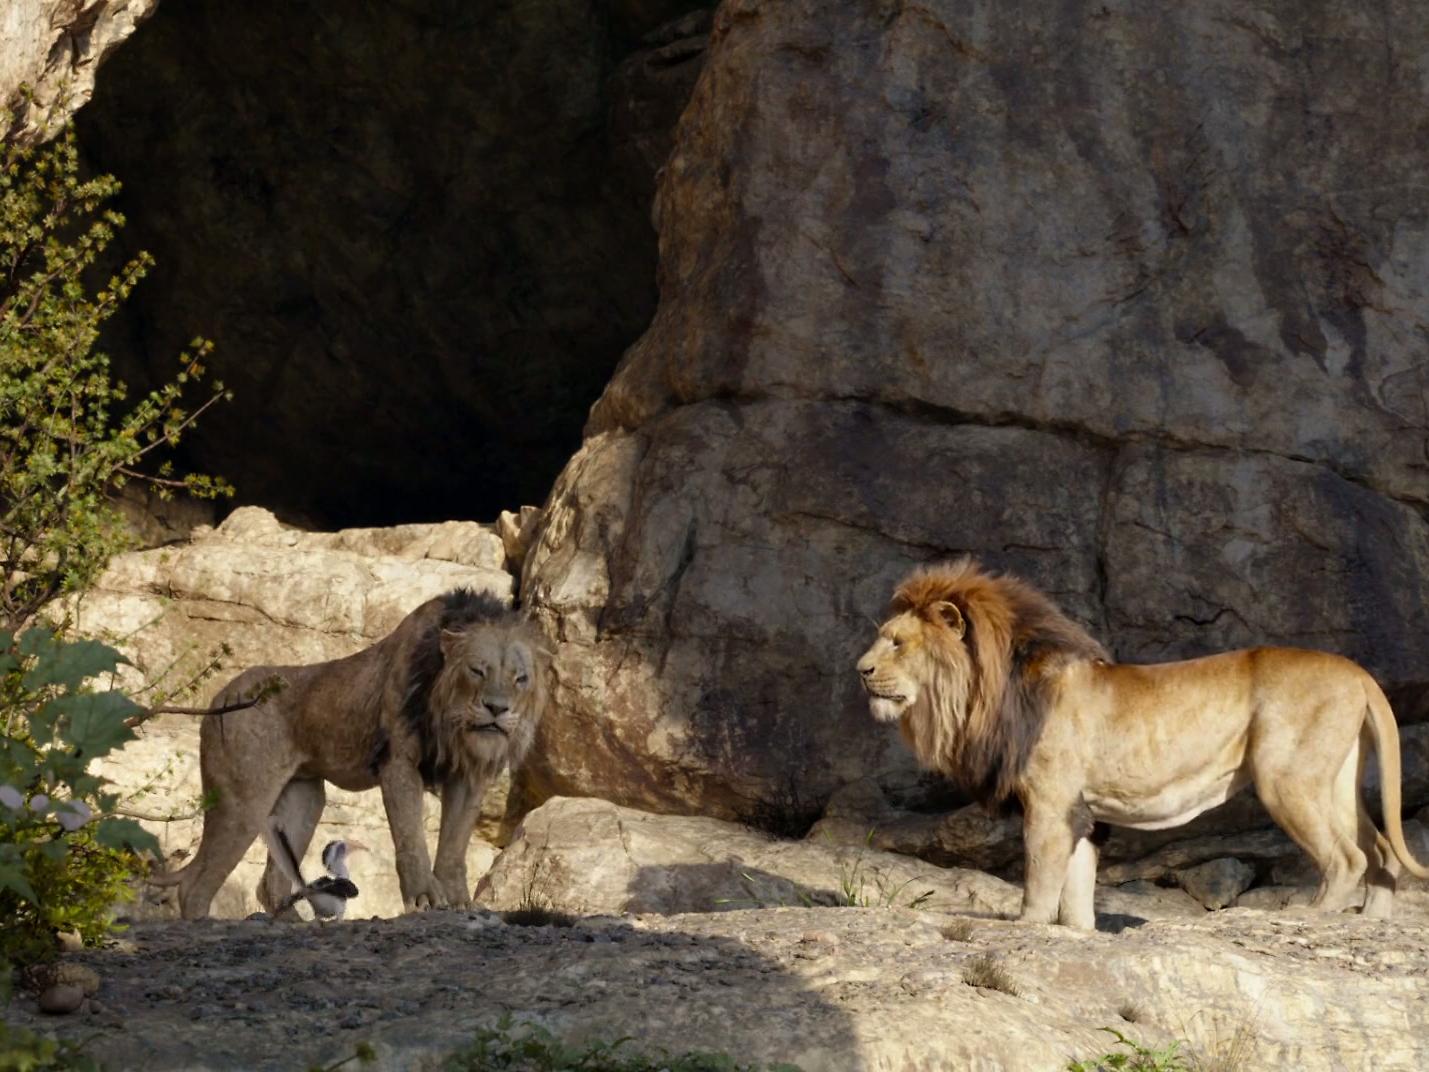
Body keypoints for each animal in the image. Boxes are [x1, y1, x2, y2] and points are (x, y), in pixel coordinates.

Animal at [149, 589, 550, 919]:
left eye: (520, 678)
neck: (449, 718)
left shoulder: (467, 776)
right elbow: (411, 837)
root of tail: (219, 697)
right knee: (196, 883)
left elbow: (454, 847)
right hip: (243, 799)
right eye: (477, 670)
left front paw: (460, 902)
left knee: (271, 885)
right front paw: (425, 898)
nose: (497, 709)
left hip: (304, 800)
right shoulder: (398, 762)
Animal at [856, 557, 1429, 929]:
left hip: (1285, 778)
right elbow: (1078, 892)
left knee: (1346, 858)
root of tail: (1358, 672)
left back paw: (1313, 917)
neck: (987, 691)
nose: (860, 670)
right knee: (1382, 851)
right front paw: (1079, 935)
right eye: (883, 638)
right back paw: (1373, 925)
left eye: (897, 643)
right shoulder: (1085, 814)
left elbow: (1040, 877)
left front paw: (1025, 927)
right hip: (1337, 780)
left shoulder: (1050, 803)